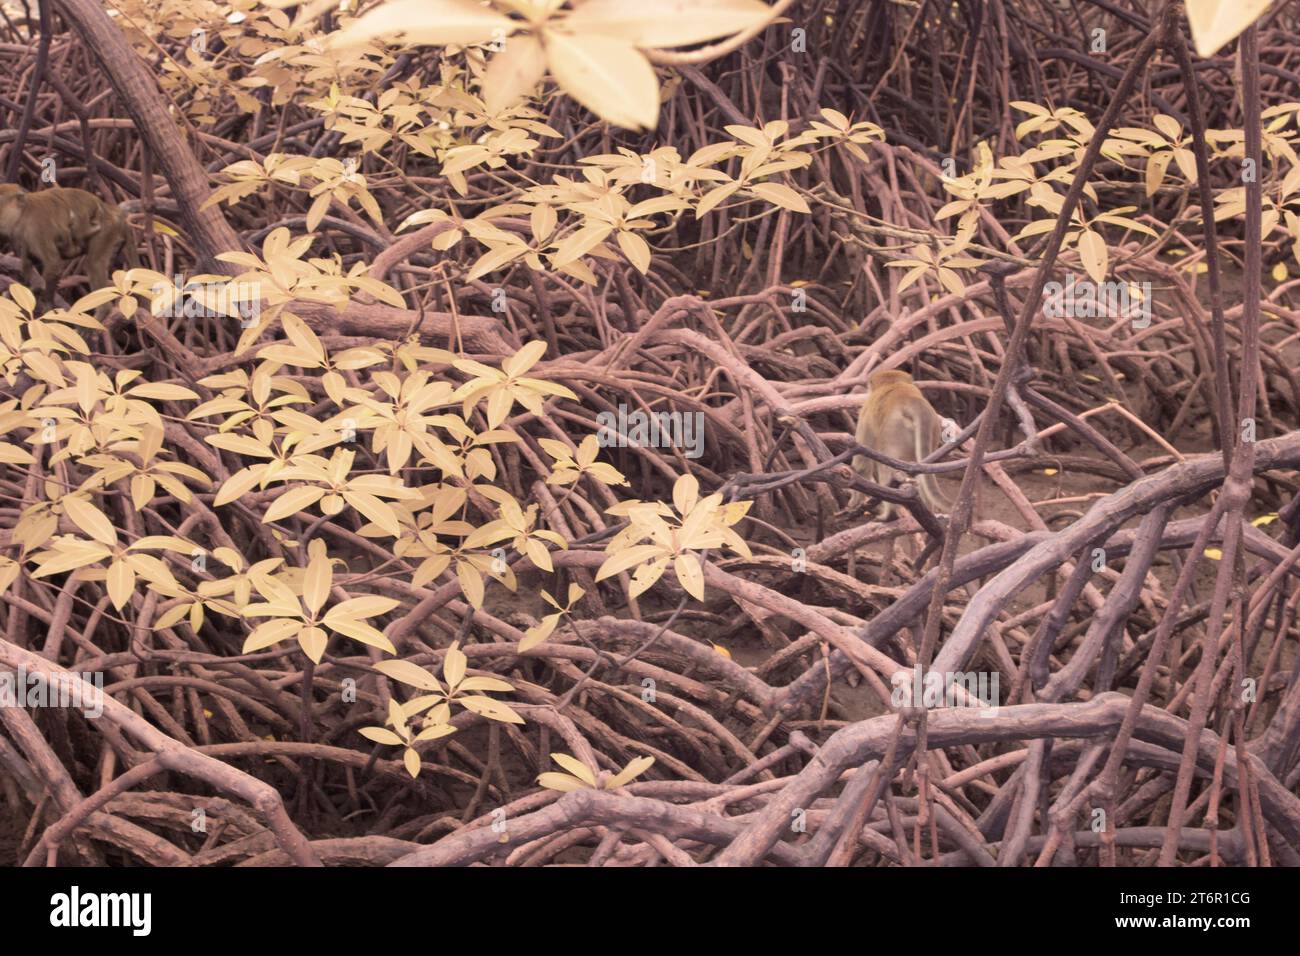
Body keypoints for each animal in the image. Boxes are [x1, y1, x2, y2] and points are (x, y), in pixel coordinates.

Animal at [0, 184, 137, 308]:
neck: (24, 213)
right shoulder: (26, 235)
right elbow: (28, 261)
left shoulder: (37, 229)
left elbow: (53, 265)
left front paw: (47, 304)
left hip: (106, 230)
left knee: (93, 262)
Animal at [850, 369, 954, 519]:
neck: (894, 384)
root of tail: (912, 401)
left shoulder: (866, 413)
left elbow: (861, 463)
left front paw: (854, 501)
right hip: (933, 426)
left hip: (894, 428)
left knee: (886, 467)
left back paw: (889, 515)